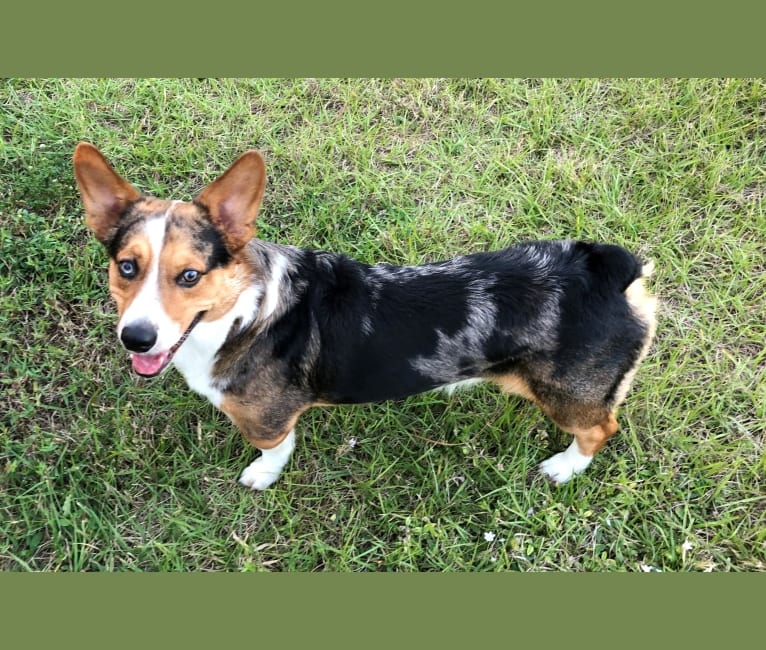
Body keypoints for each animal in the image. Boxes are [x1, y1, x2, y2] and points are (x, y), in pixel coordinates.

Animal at [73, 140, 660, 486]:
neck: (240, 314)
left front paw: (261, 476)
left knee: (601, 427)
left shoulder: (268, 420)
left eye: (190, 276)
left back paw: (564, 467)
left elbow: (274, 450)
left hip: (565, 396)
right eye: (127, 267)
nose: (136, 338)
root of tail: (609, 270)